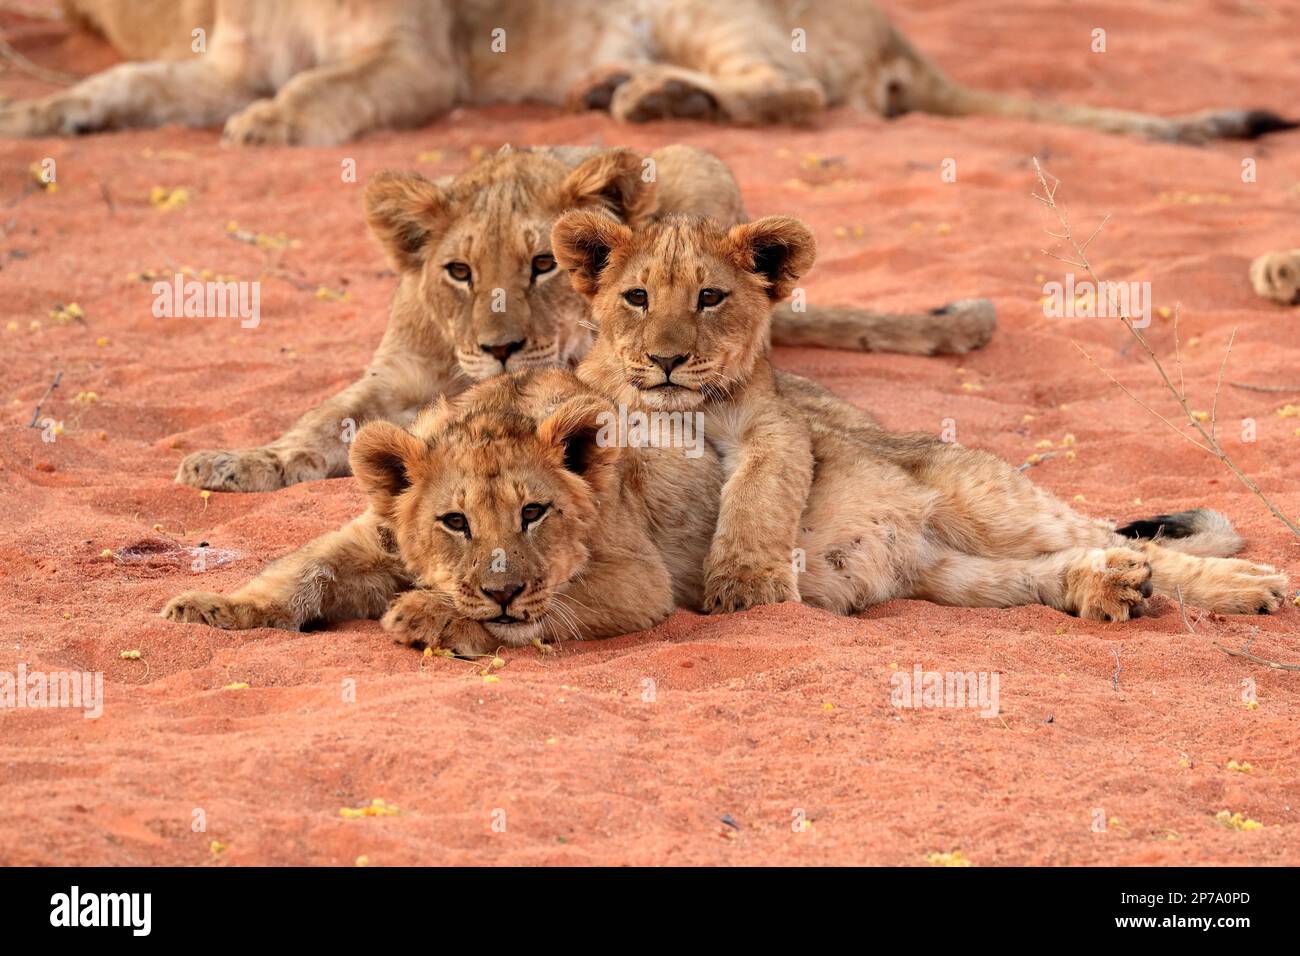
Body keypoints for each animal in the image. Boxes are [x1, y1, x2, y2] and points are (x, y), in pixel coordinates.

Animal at [162, 218, 1289, 655]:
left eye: (534, 512)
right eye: (451, 521)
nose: (498, 585)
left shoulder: (636, 582)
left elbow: (551, 613)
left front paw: (442, 620)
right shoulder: (366, 536)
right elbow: (297, 567)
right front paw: (220, 605)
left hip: (987, 501)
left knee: (1152, 540)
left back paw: (1244, 586)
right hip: (959, 578)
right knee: (1072, 566)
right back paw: (1106, 593)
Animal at [174, 144, 995, 492]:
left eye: (543, 264)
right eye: (459, 271)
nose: (500, 349)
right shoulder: (394, 376)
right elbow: (321, 419)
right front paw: (243, 462)